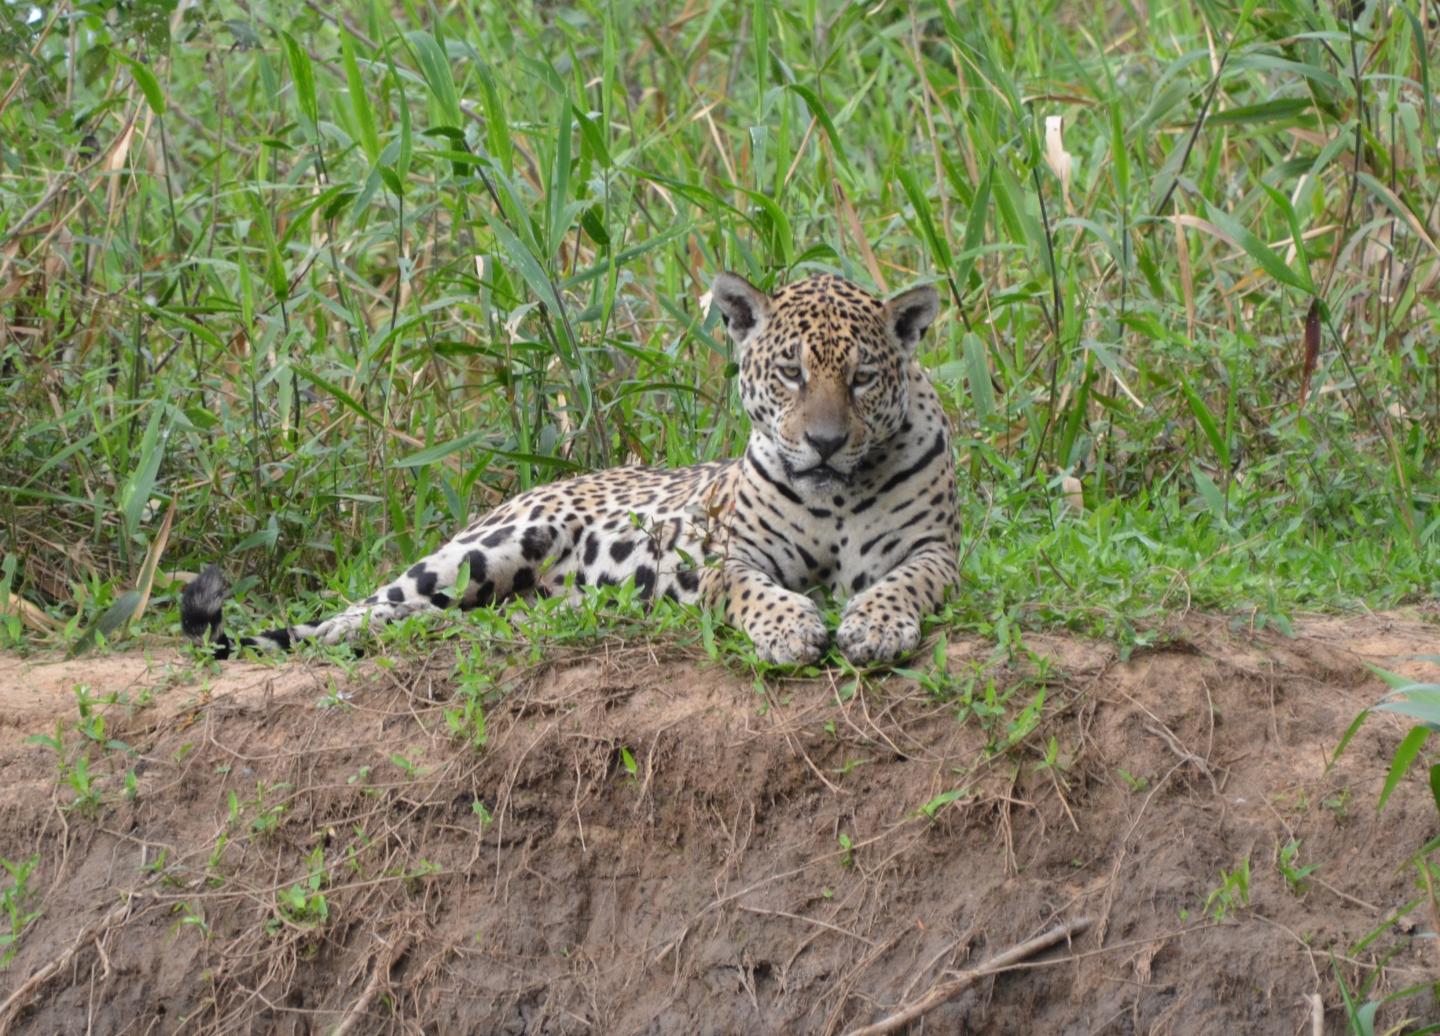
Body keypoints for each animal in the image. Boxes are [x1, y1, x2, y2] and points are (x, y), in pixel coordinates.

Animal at [182, 271, 960, 666]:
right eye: (792, 373)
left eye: (861, 378)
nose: (825, 444)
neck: (835, 497)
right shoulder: (731, 557)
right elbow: (754, 593)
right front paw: (792, 629)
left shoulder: (934, 552)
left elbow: (903, 584)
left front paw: (875, 627)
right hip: (487, 548)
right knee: (363, 607)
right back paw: (349, 634)